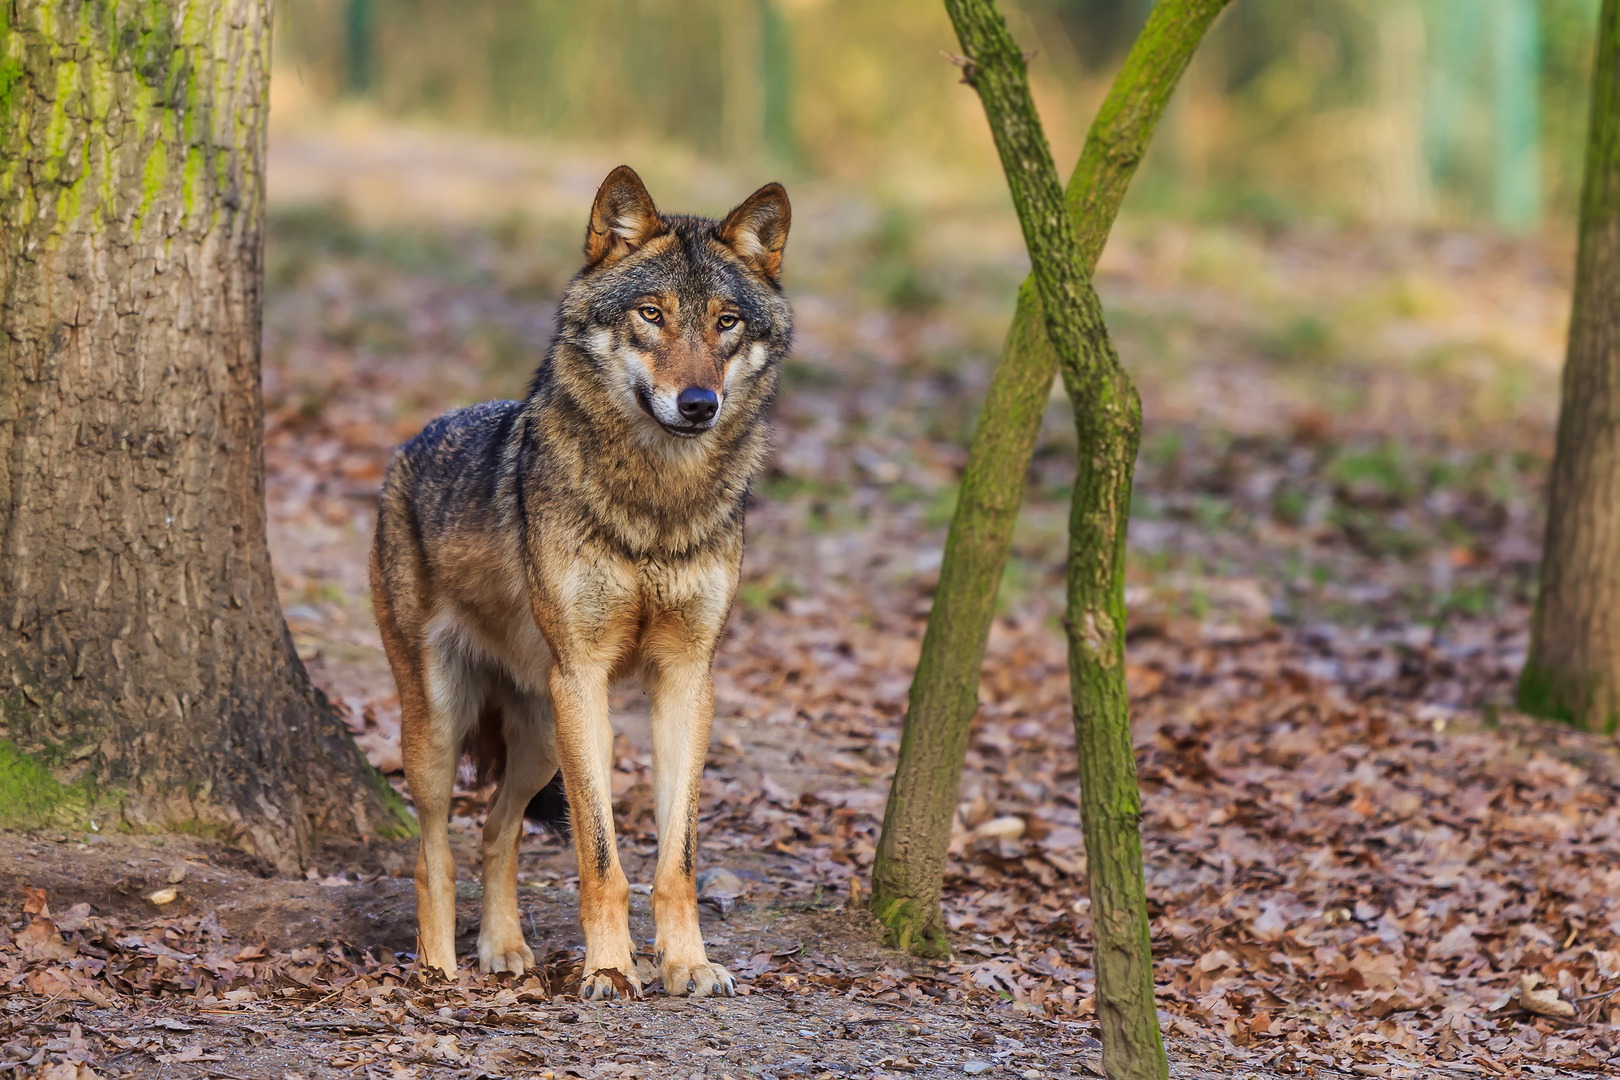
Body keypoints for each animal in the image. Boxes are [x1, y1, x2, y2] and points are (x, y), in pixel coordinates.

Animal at [369, 166, 791, 999]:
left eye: (726, 322)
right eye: (651, 315)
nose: (699, 404)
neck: (658, 503)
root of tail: (407, 446)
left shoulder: (686, 678)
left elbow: (675, 859)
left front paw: (687, 966)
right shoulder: (587, 673)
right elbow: (601, 857)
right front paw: (609, 971)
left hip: (541, 734)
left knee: (495, 833)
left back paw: (505, 949)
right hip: (442, 724)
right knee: (433, 849)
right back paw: (437, 969)